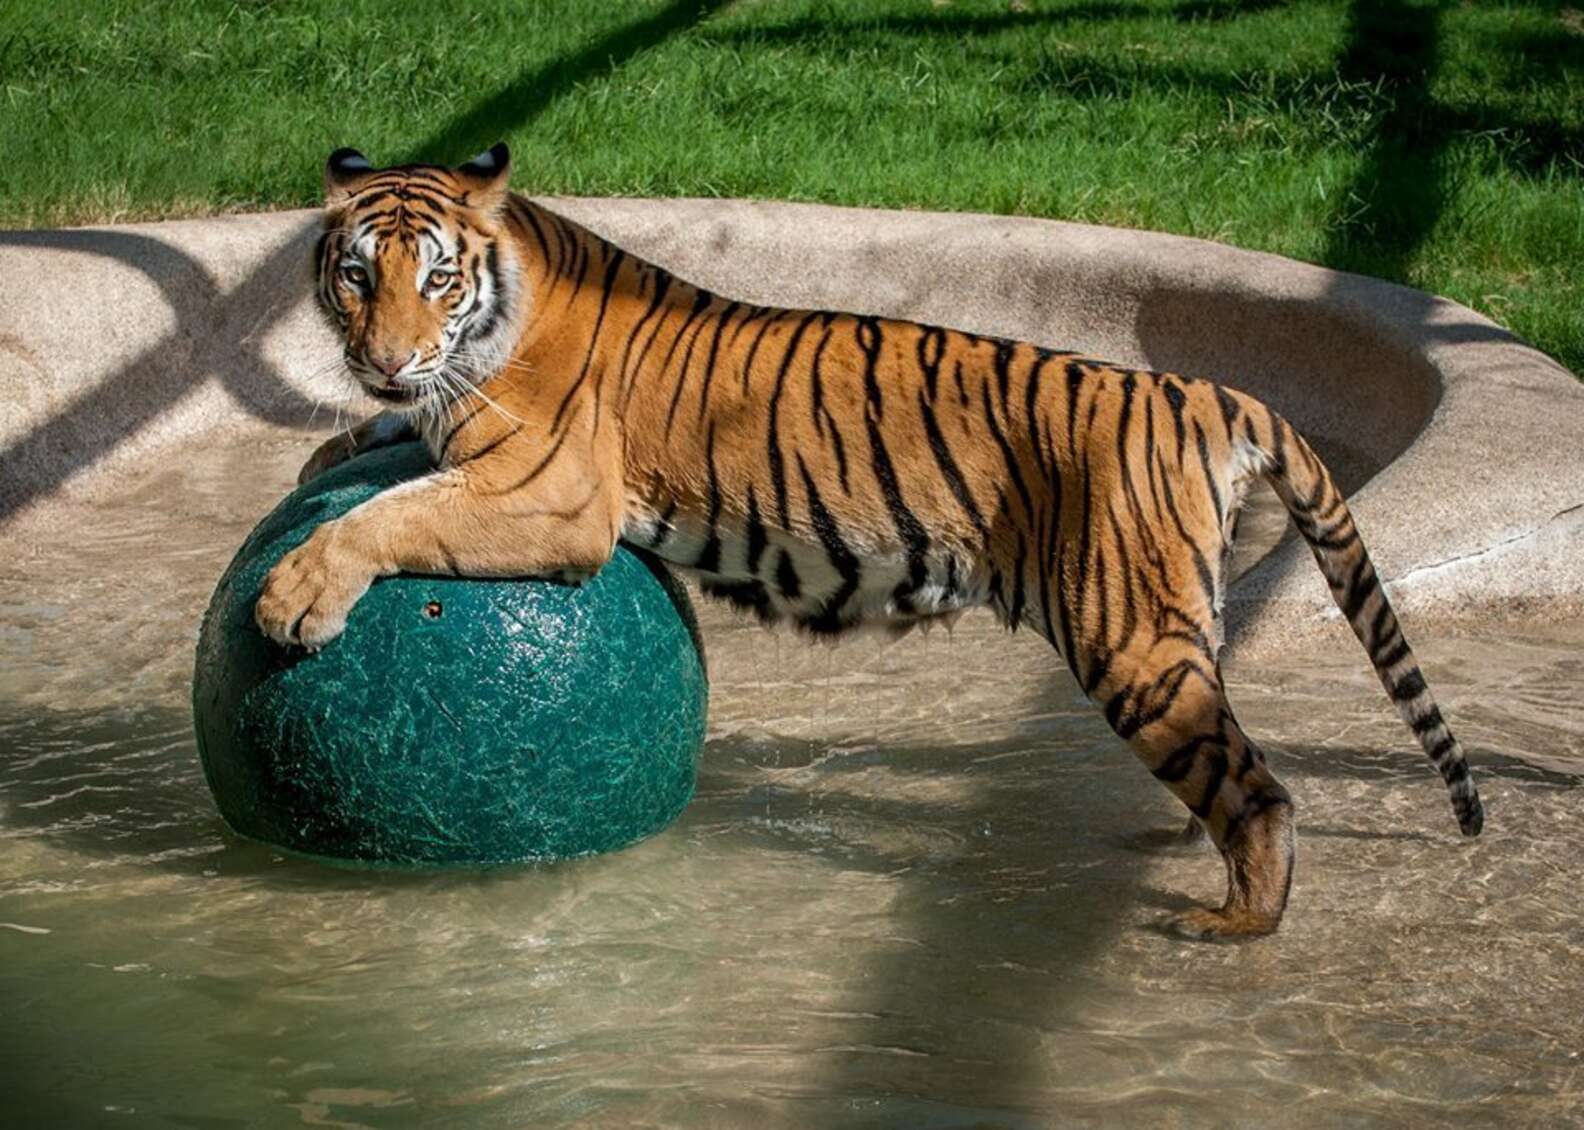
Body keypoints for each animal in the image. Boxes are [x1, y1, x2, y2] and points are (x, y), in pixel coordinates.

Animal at [256, 143, 1484, 939]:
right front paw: (331, 454)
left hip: (1131, 643)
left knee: (1260, 792)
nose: (382, 358)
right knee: (1226, 767)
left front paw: (292, 593)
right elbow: (368, 450)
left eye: (435, 276)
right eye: (355, 274)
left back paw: (1233, 926)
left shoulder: (553, 496)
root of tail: (1196, 389)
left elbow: (396, 509)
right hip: (1177, 631)